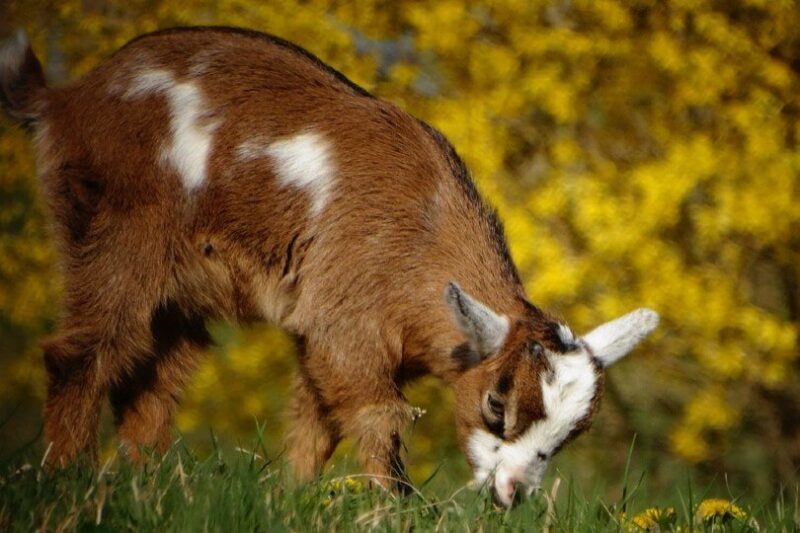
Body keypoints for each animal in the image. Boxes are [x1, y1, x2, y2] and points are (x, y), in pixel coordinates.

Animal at [0, 26, 658, 506]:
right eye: (497, 405)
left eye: (573, 432)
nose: (510, 494)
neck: (421, 231)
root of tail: (66, 100)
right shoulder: (347, 320)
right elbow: (376, 414)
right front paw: (393, 508)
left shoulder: (331, 329)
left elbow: (315, 417)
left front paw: (289, 497)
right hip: (118, 223)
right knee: (82, 350)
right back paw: (62, 478)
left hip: (180, 289)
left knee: (156, 376)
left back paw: (145, 483)